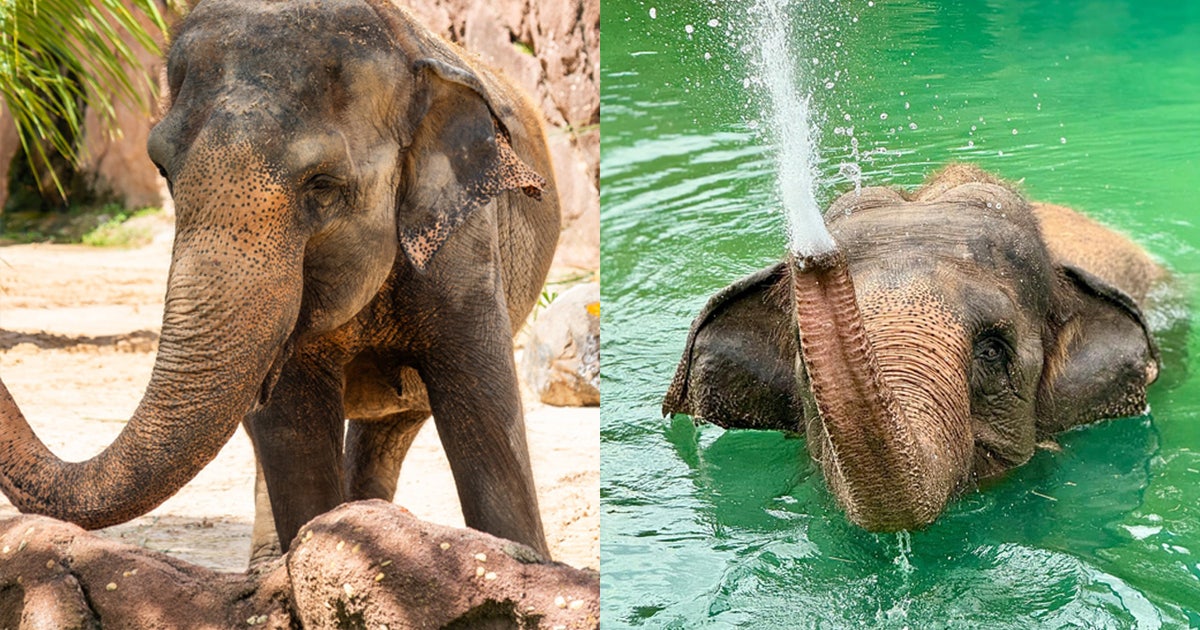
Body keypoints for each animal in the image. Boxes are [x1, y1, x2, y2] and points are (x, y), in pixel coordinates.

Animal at [0, 0, 560, 561]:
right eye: (161, 170)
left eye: (323, 185)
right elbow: (291, 430)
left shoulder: (465, 247)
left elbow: (487, 417)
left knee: (392, 424)